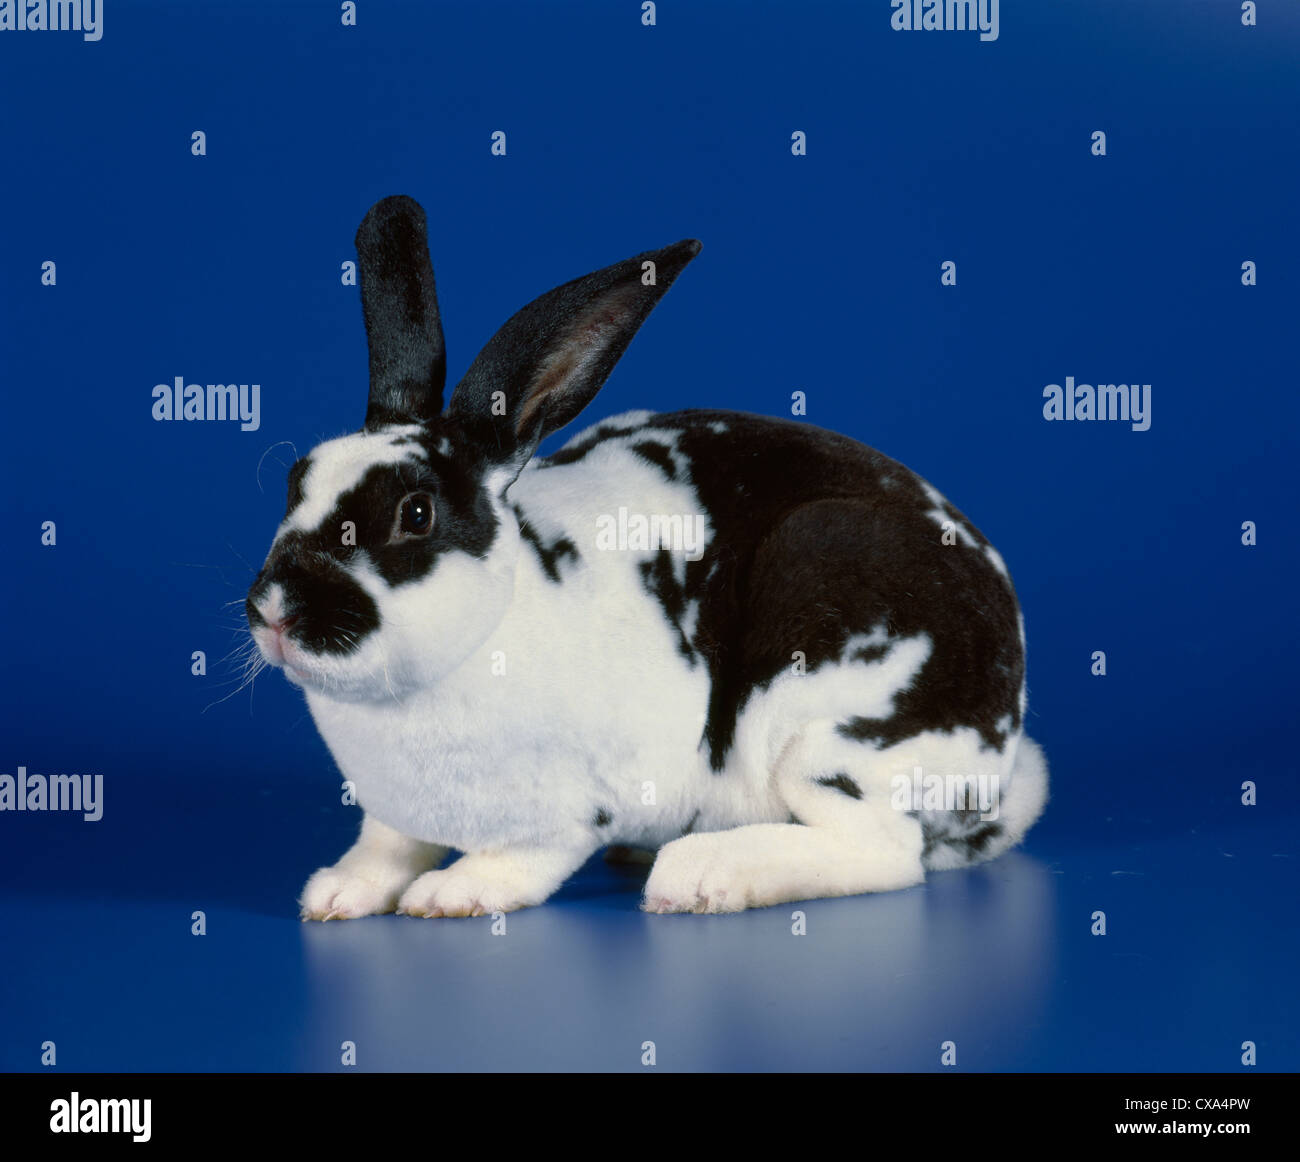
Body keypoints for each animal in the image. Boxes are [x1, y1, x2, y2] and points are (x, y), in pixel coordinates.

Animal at [246, 194, 1048, 919]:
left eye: (416, 515)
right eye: (297, 480)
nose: (275, 611)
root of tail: (1002, 754)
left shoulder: (569, 811)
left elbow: (522, 858)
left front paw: (452, 895)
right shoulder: (393, 813)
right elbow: (386, 846)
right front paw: (337, 895)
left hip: (826, 722)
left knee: (883, 852)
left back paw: (700, 876)